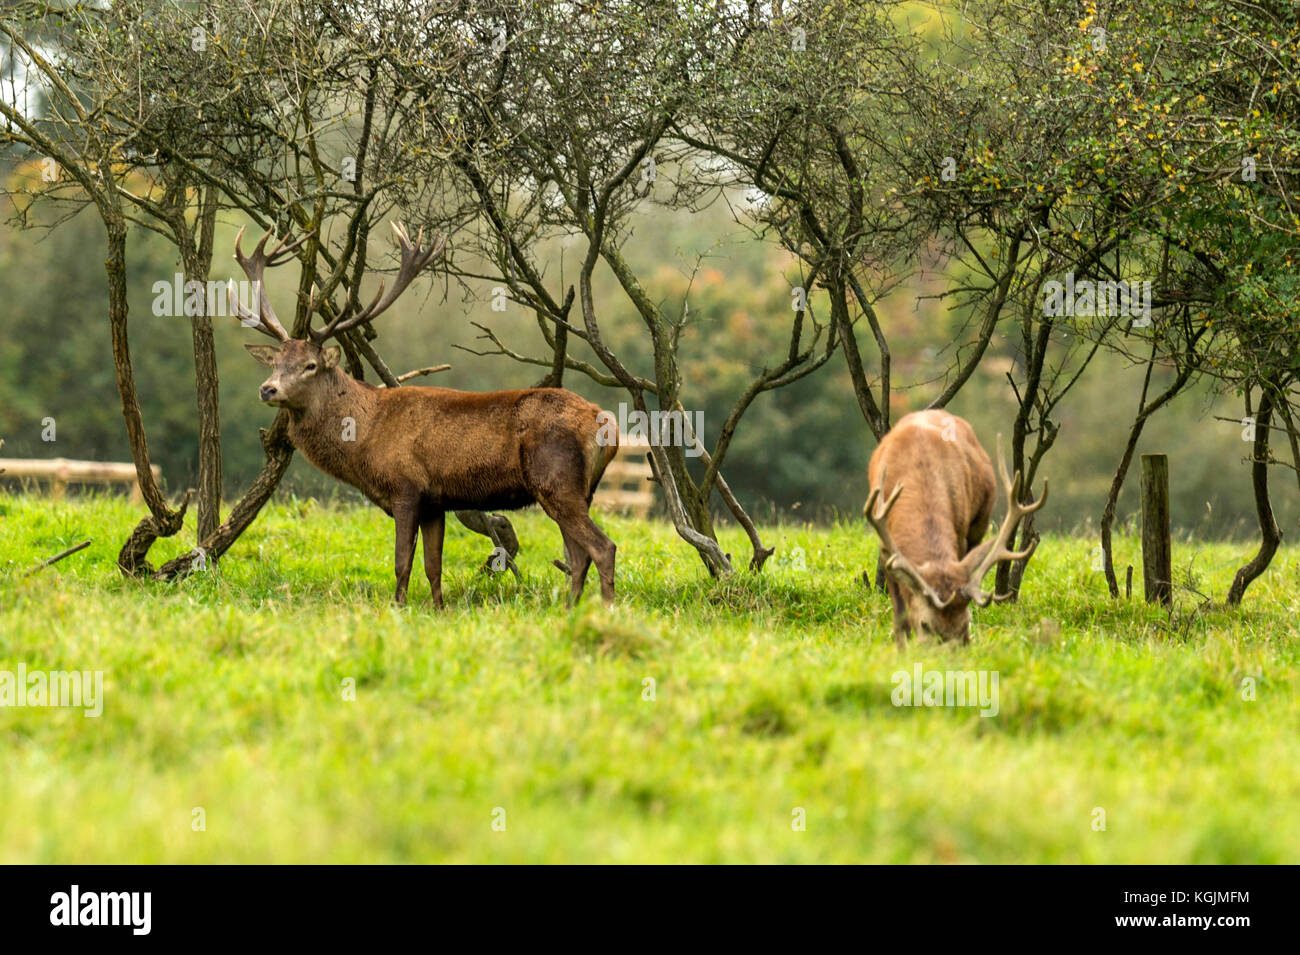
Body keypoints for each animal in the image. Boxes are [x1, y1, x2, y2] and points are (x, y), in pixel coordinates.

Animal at [230, 222, 619, 607]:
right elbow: (434, 566)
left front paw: (399, 607)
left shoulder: (406, 487)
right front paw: (438, 609)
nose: (268, 389)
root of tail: (606, 423)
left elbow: (403, 561)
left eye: (310, 365)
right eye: (276, 363)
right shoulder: (435, 502)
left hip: (557, 479)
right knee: (578, 555)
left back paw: (605, 608)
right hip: (580, 489)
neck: (364, 436)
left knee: (603, 547)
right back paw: (570, 608)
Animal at [863, 410, 1047, 646]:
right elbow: (900, 616)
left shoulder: (959, 531)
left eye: (966, 623)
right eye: (925, 624)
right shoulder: (886, 547)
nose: (956, 650)